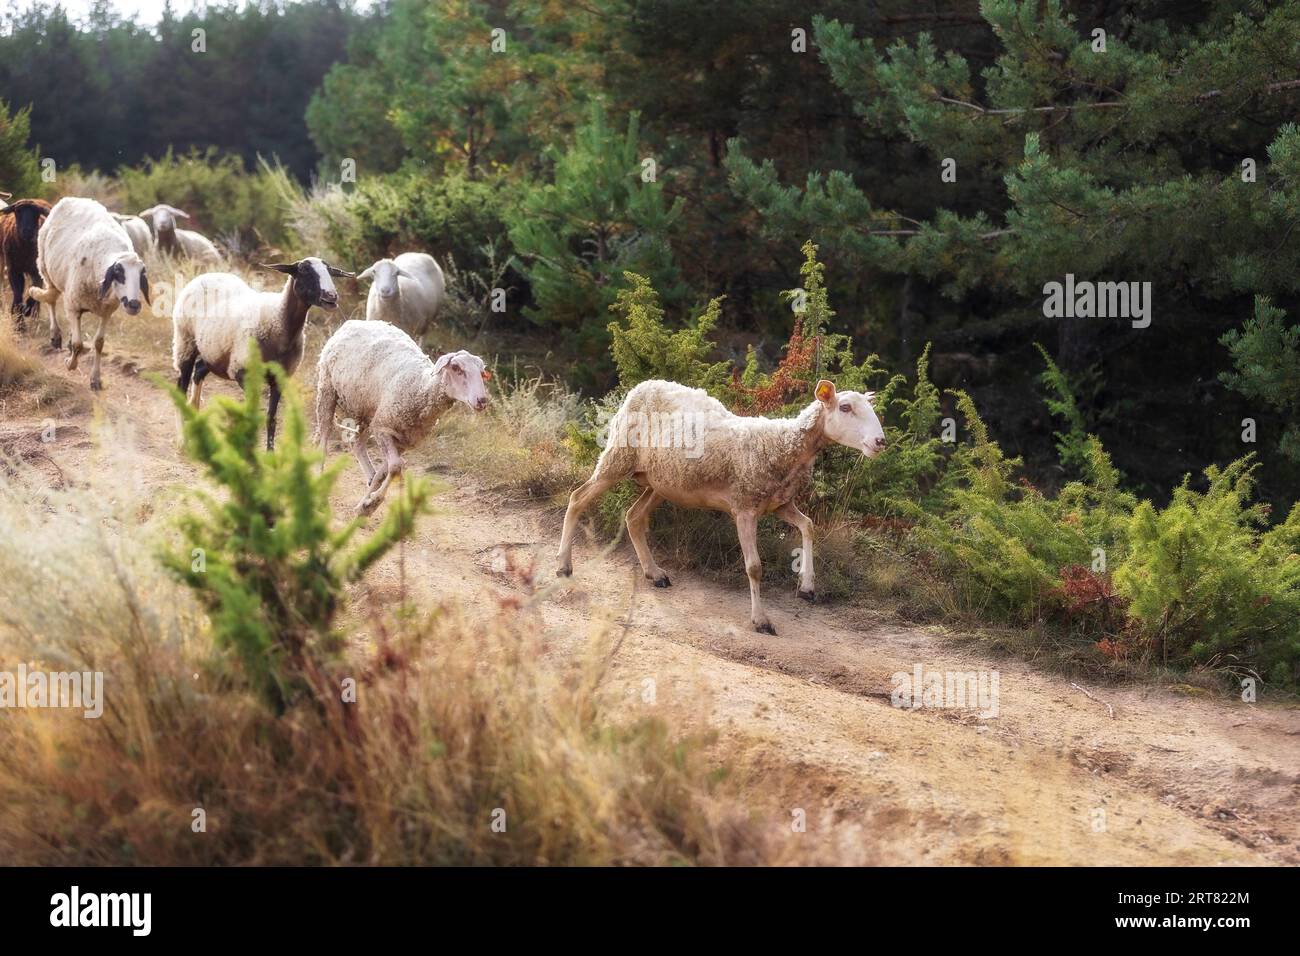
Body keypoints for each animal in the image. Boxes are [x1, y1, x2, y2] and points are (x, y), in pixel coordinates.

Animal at [0, 198, 51, 329]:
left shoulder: (36, 272)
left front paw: (27, 310)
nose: (27, 231)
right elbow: (18, 295)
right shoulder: (13, 270)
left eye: (36, 213)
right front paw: (19, 323)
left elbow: (33, 292)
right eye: (17, 211)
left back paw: (34, 315)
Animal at [27, 197, 149, 391]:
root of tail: (73, 198)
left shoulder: (107, 311)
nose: (134, 305)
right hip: (45, 267)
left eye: (141, 274)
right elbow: (78, 344)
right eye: (118, 273)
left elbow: (98, 343)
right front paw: (70, 364)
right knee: (51, 300)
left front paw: (95, 379)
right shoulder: (72, 306)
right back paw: (55, 335)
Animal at [172, 257, 353, 449]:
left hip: (214, 352)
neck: (278, 320)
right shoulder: (244, 374)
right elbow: (251, 415)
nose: (331, 296)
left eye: (330, 271)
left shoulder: (279, 378)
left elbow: (271, 419)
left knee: (198, 370)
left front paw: (269, 452)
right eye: (304, 270)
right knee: (181, 388)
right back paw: (182, 440)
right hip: (185, 342)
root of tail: (205, 276)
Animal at [314, 319, 489, 514]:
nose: (482, 400)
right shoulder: (383, 428)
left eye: (482, 373)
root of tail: (354, 322)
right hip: (327, 389)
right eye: (457, 368)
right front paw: (373, 502)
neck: (420, 388)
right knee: (324, 438)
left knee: (356, 443)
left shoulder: (402, 440)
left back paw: (368, 478)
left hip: (368, 411)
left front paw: (365, 505)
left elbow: (386, 471)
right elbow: (396, 466)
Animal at [556, 378, 887, 634]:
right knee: (577, 499)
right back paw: (563, 566)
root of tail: (642, 386)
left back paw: (655, 573)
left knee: (633, 517)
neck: (783, 445)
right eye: (845, 408)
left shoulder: (780, 503)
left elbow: (808, 526)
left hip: (660, 481)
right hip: (618, 457)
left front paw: (807, 586)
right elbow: (754, 567)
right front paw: (761, 620)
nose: (880, 442)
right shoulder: (744, 508)